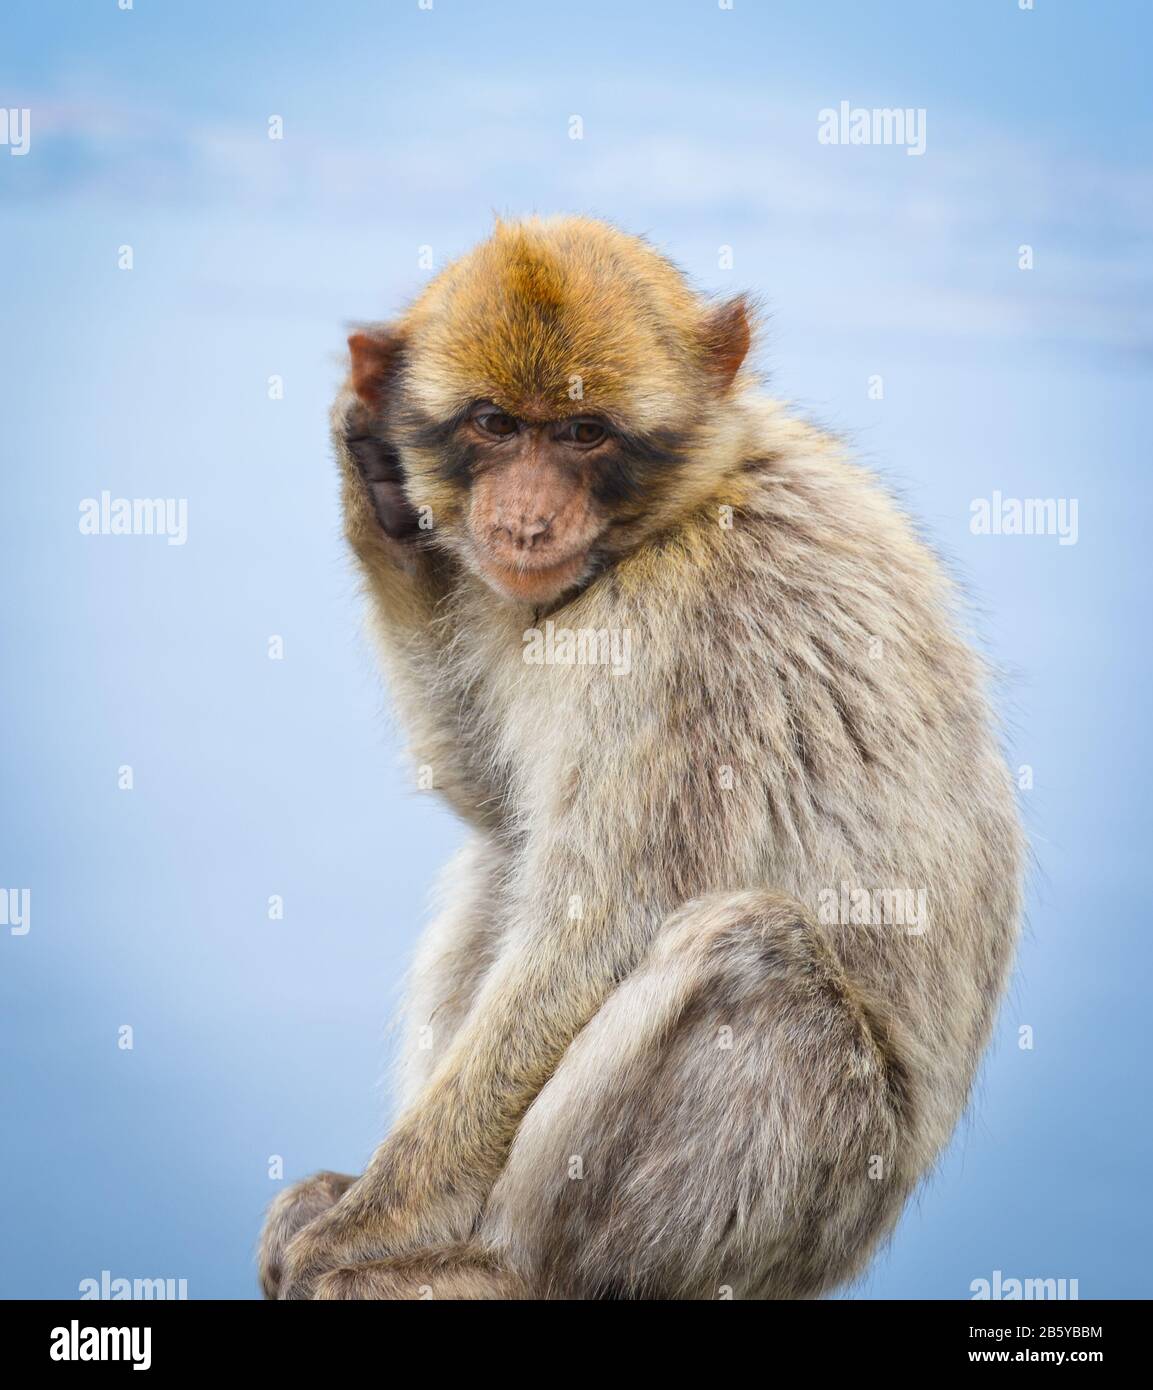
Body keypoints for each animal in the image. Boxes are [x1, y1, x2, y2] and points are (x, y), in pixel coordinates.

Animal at [258, 215, 1023, 1301]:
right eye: (494, 424)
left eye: (583, 433)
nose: (525, 519)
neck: (660, 528)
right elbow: (489, 796)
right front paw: (374, 487)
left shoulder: (684, 643)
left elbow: (595, 930)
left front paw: (367, 1223)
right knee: (509, 853)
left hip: (804, 1199)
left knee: (753, 954)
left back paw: (494, 1262)